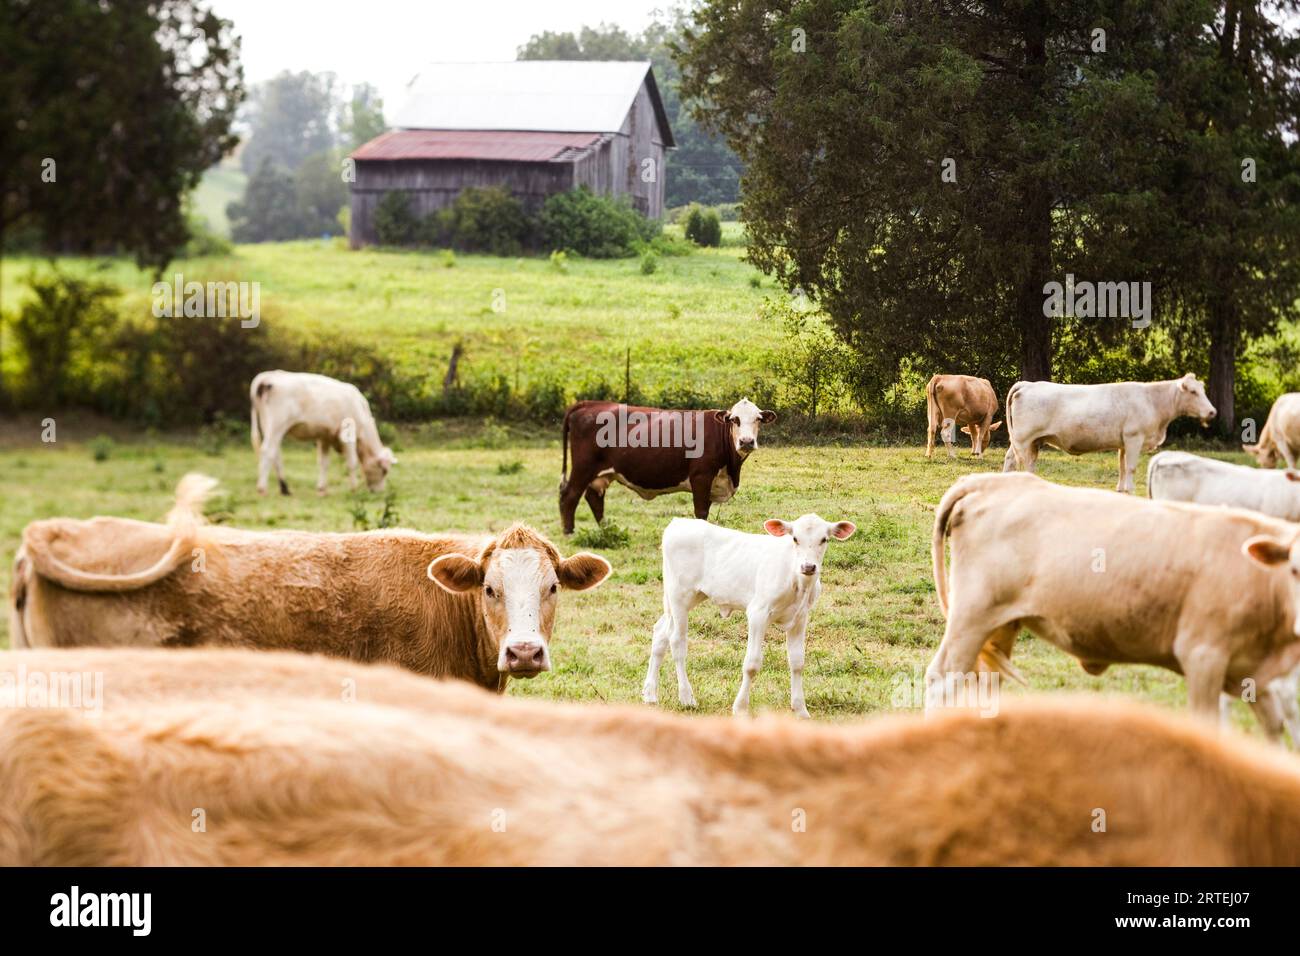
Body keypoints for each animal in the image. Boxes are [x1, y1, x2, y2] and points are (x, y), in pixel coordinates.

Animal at [250, 370, 397, 496]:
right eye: (384, 471)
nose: (379, 492)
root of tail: (267, 377)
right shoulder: (348, 434)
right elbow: (352, 462)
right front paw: (354, 489)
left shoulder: (324, 436)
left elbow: (324, 462)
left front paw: (322, 489)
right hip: (277, 424)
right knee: (267, 451)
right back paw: (262, 489)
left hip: (268, 425)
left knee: (276, 454)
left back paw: (285, 488)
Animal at [558, 398, 776, 534]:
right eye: (734, 419)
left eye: (758, 419)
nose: (746, 441)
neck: (731, 469)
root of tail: (588, 404)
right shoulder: (701, 477)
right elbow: (701, 512)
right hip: (583, 467)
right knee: (570, 495)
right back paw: (570, 532)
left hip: (602, 473)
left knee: (594, 497)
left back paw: (606, 530)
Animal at [643, 515, 856, 718]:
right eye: (795, 538)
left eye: (824, 539)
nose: (808, 567)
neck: (796, 579)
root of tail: (679, 522)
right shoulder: (758, 612)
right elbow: (752, 663)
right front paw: (741, 708)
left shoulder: (800, 617)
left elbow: (797, 662)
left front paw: (800, 709)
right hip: (679, 595)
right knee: (677, 641)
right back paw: (687, 698)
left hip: (687, 597)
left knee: (660, 632)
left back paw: (650, 694)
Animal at [927, 472, 1300, 741]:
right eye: (1294, 569)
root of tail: (989, 481)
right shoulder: (1203, 656)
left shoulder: (1257, 676)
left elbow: (1274, 729)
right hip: (971, 618)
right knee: (942, 680)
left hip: (1000, 625)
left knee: (985, 685)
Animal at [1000, 374, 1216, 493]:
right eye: (1193, 392)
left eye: (1202, 390)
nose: (1212, 412)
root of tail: (1028, 383)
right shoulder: (1134, 437)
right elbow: (1131, 467)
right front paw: (1130, 489)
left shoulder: (1123, 442)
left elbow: (1122, 466)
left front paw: (1121, 489)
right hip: (1024, 438)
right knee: (1023, 462)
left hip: (1028, 440)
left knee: (1012, 459)